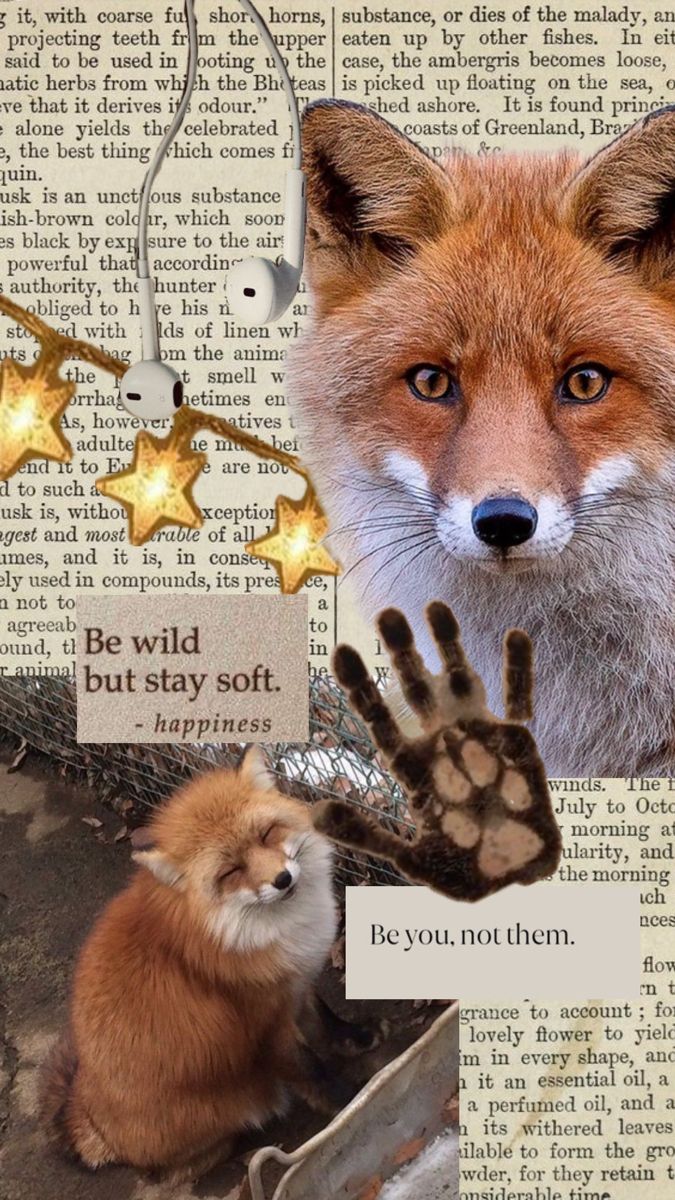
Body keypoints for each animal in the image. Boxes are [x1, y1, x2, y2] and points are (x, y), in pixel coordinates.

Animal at [39, 749, 339, 1180]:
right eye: (231, 871)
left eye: (266, 835)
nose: (282, 879)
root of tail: (92, 1118)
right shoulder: (266, 1026)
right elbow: (313, 1072)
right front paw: (348, 1103)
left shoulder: (297, 980)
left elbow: (327, 1019)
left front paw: (363, 1039)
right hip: (228, 1107)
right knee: (179, 1168)